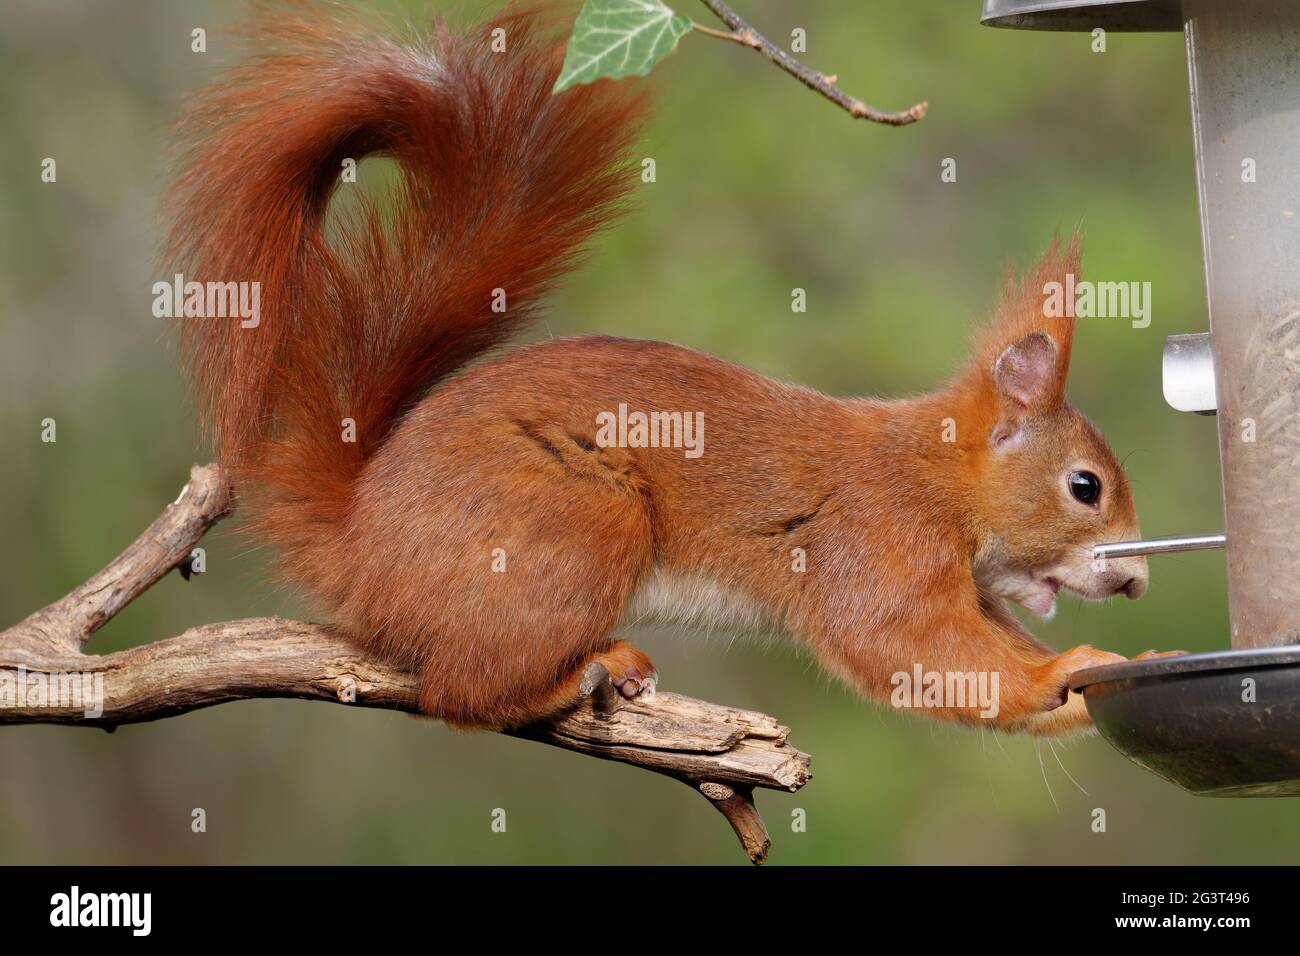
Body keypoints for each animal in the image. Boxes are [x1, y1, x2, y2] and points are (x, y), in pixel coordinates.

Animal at [165, 2, 1162, 738]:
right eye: (1084, 488)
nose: (1137, 585)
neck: (935, 471)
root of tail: (359, 546)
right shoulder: (878, 546)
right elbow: (915, 653)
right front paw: (1069, 670)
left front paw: (1118, 670)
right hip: (573, 520)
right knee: (463, 692)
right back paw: (583, 671)